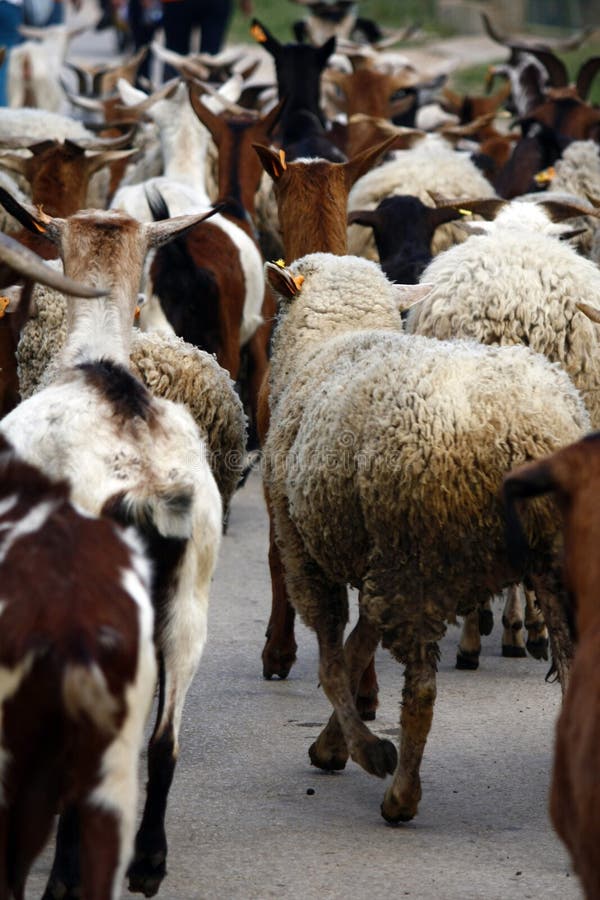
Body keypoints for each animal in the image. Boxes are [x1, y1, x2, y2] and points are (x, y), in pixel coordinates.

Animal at [263, 250, 588, 824]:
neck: (334, 339)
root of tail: (519, 429)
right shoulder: (374, 556)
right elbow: (357, 649)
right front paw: (332, 745)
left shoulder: (302, 550)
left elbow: (332, 664)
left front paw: (363, 750)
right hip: (547, 558)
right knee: (571, 669)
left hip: (415, 561)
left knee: (422, 695)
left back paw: (400, 794)